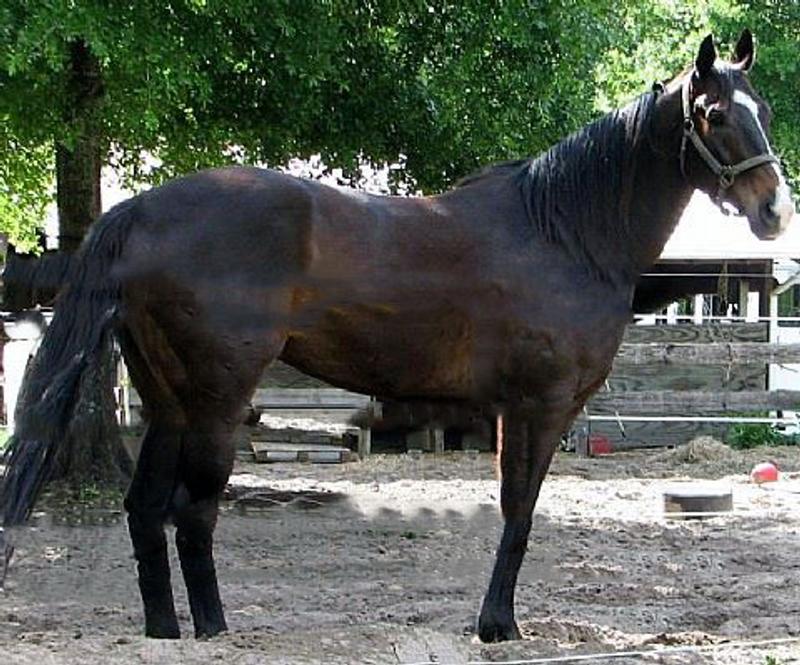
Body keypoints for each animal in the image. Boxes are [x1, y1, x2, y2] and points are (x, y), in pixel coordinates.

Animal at [1, 30, 794, 642]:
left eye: (763, 110)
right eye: (713, 114)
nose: (775, 212)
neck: (565, 232)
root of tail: (139, 211)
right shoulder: (537, 406)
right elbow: (519, 510)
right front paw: (497, 625)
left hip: (168, 400)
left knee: (144, 510)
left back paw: (166, 631)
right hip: (217, 400)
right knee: (192, 512)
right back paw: (216, 630)